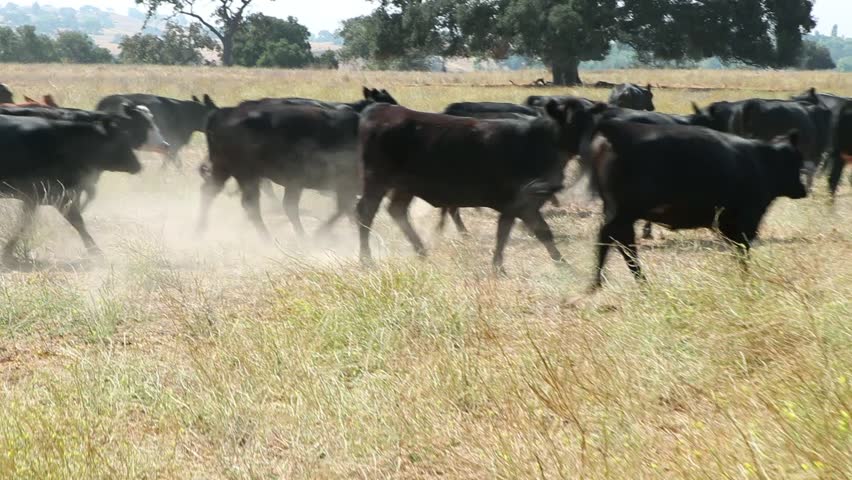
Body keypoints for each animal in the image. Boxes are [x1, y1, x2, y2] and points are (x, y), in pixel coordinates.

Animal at [0, 114, 142, 263]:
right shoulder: (55, 195)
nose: (138, 165)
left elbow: (24, 223)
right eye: (122, 141)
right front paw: (96, 252)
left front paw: (9, 251)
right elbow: (77, 221)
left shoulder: (35, 197)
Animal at [198, 103, 361, 238]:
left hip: (224, 170)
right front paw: (320, 234)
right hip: (248, 175)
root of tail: (223, 113)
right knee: (252, 204)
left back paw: (198, 231)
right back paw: (271, 239)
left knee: (209, 192)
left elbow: (346, 208)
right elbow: (345, 208)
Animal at [356, 101, 577, 271]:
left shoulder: (523, 205)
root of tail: (381, 110)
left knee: (397, 211)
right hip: (377, 182)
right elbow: (527, 231)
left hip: (404, 187)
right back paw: (366, 260)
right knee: (366, 213)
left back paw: (422, 252)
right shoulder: (520, 203)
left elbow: (534, 231)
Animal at [583, 119, 807, 290]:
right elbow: (742, 249)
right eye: (796, 161)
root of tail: (617, 128)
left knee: (620, 241)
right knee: (612, 238)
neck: (762, 161)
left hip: (620, 211)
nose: (803, 189)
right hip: (623, 210)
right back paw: (601, 284)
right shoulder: (745, 219)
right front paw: (745, 278)